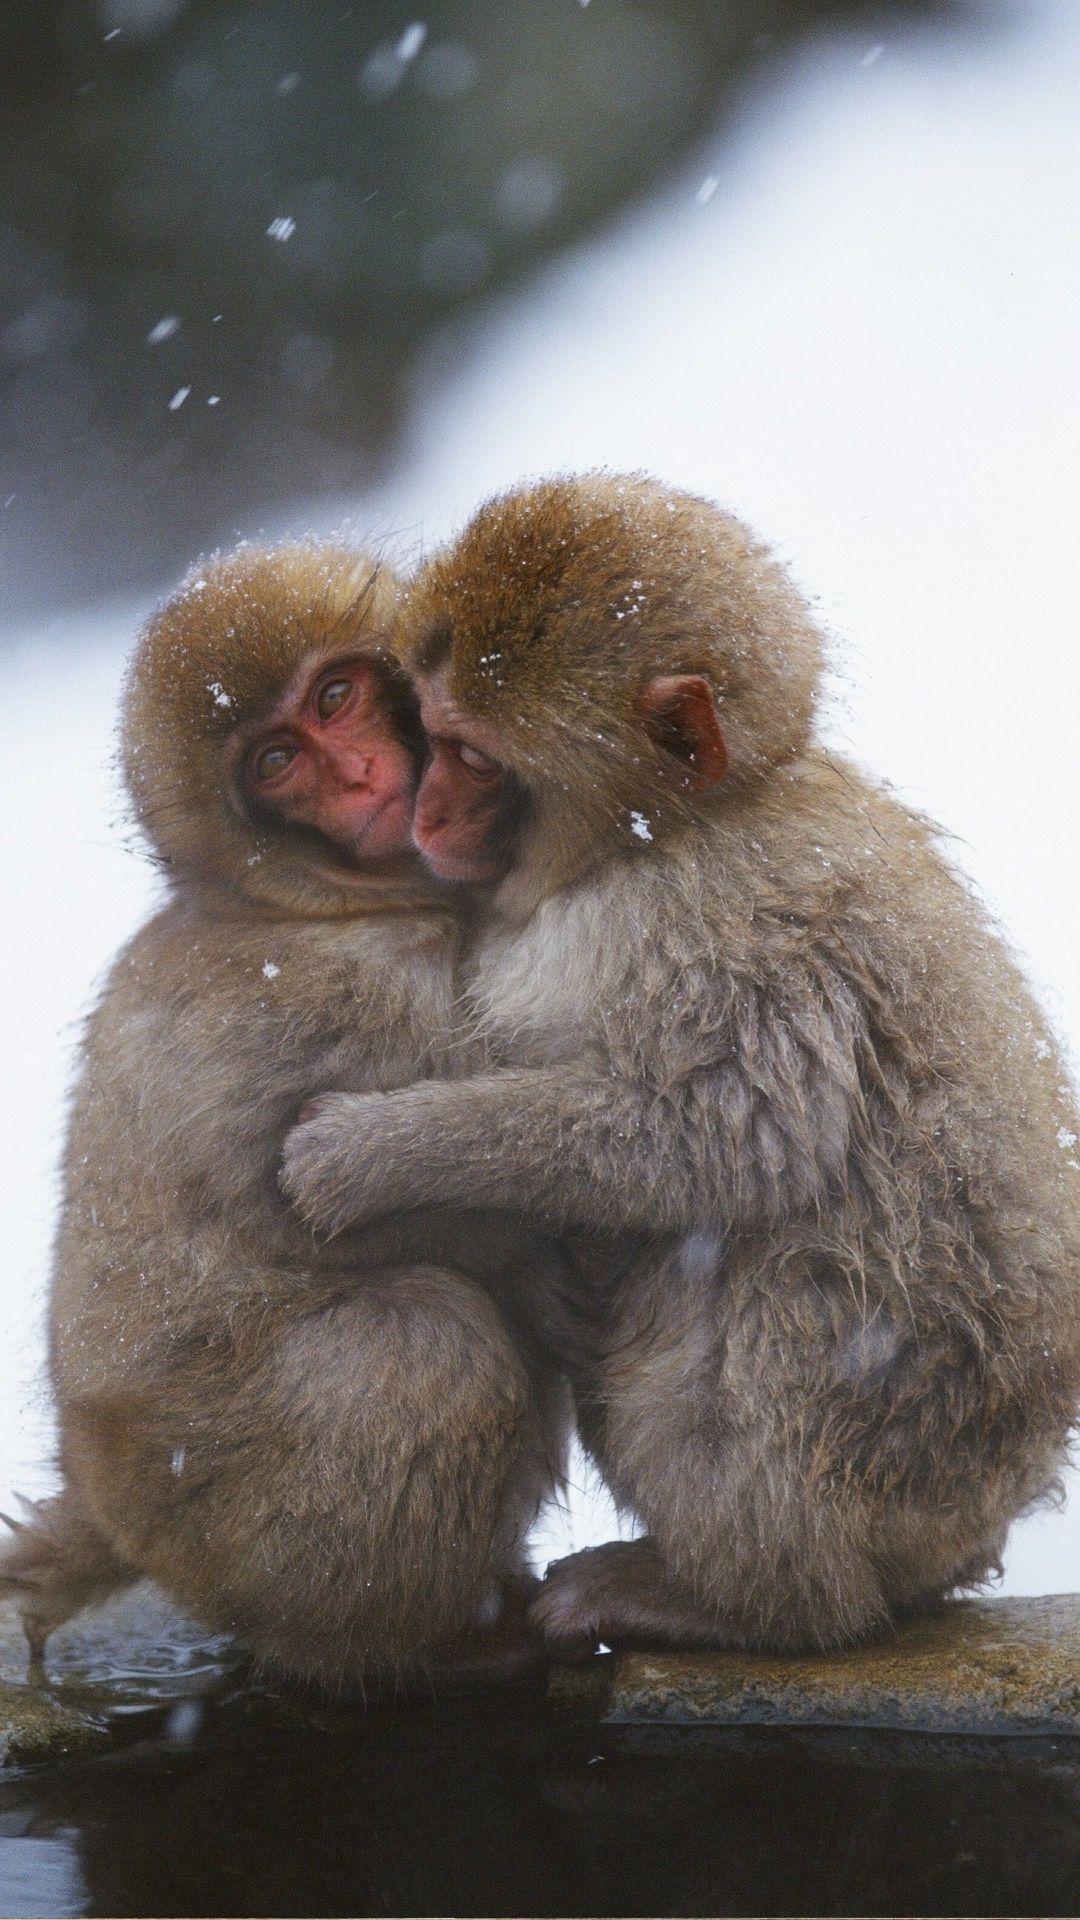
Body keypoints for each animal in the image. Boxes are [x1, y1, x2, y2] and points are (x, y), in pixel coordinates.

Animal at [0, 537, 571, 1686]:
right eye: (275, 761)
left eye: (337, 698)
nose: (356, 776)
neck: (324, 901)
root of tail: (105, 1503)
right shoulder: (343, 995)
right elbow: (312, 1207)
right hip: (217, 1504)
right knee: (425, 1345)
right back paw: (418, 1643)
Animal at [281, 472, 1080, 1657]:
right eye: (428, 732)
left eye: (474, 757)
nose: (426, 808)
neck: (662, 834)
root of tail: (985, 1510)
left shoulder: (726, 930)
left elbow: (724, 1137)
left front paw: (377, 1154)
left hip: (878, 1451)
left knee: (737, 1272)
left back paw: (746, 1600)